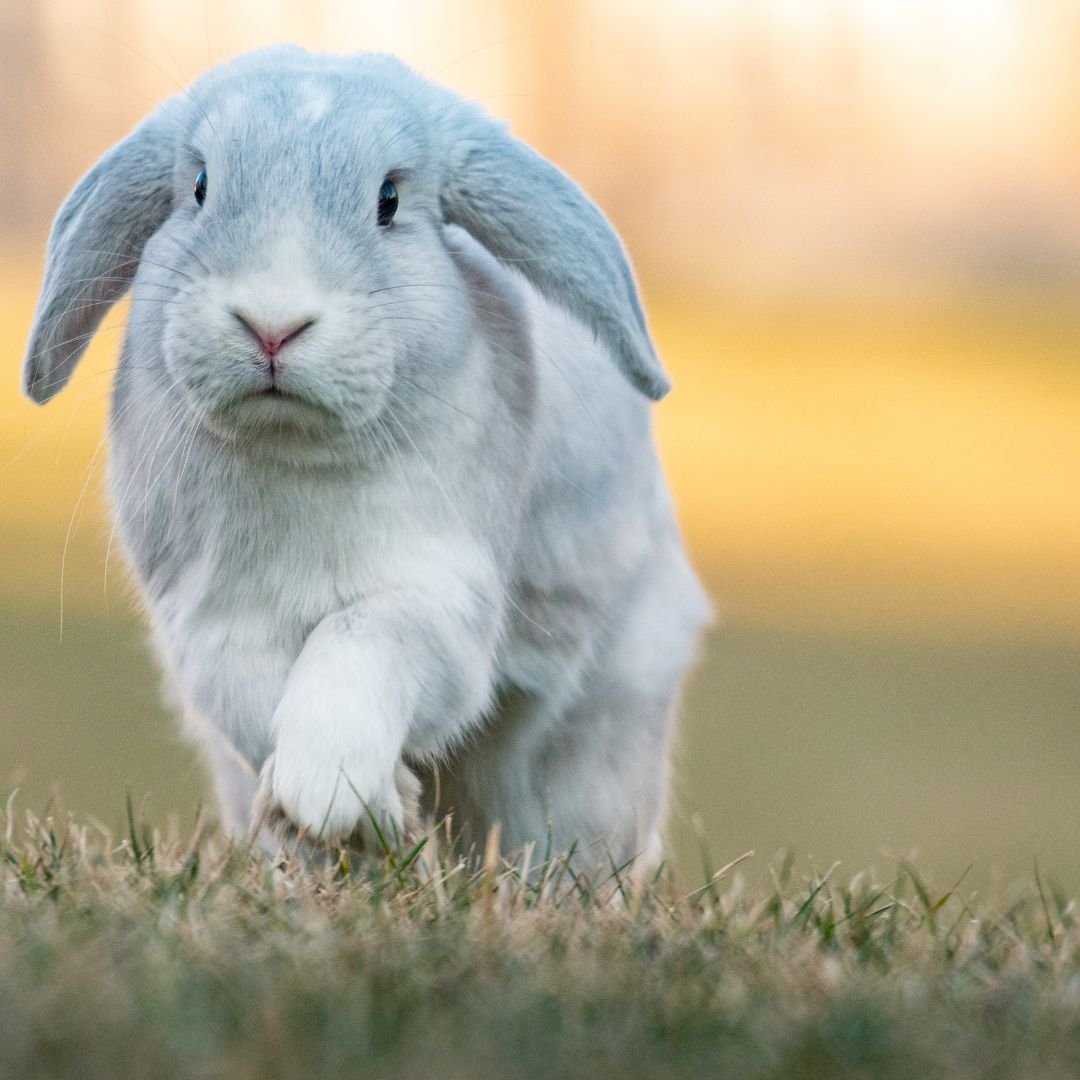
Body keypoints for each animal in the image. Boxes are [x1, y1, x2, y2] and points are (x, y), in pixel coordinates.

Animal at [23, 46, 711, 872]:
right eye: (200, 188)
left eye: (388, 200)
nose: (273, 323)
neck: (296, 448)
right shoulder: (216, 623)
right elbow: (257, 700)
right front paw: (373, 812)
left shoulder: (437, 601)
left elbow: (362, 645)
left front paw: (334, 791)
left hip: (597, 734)